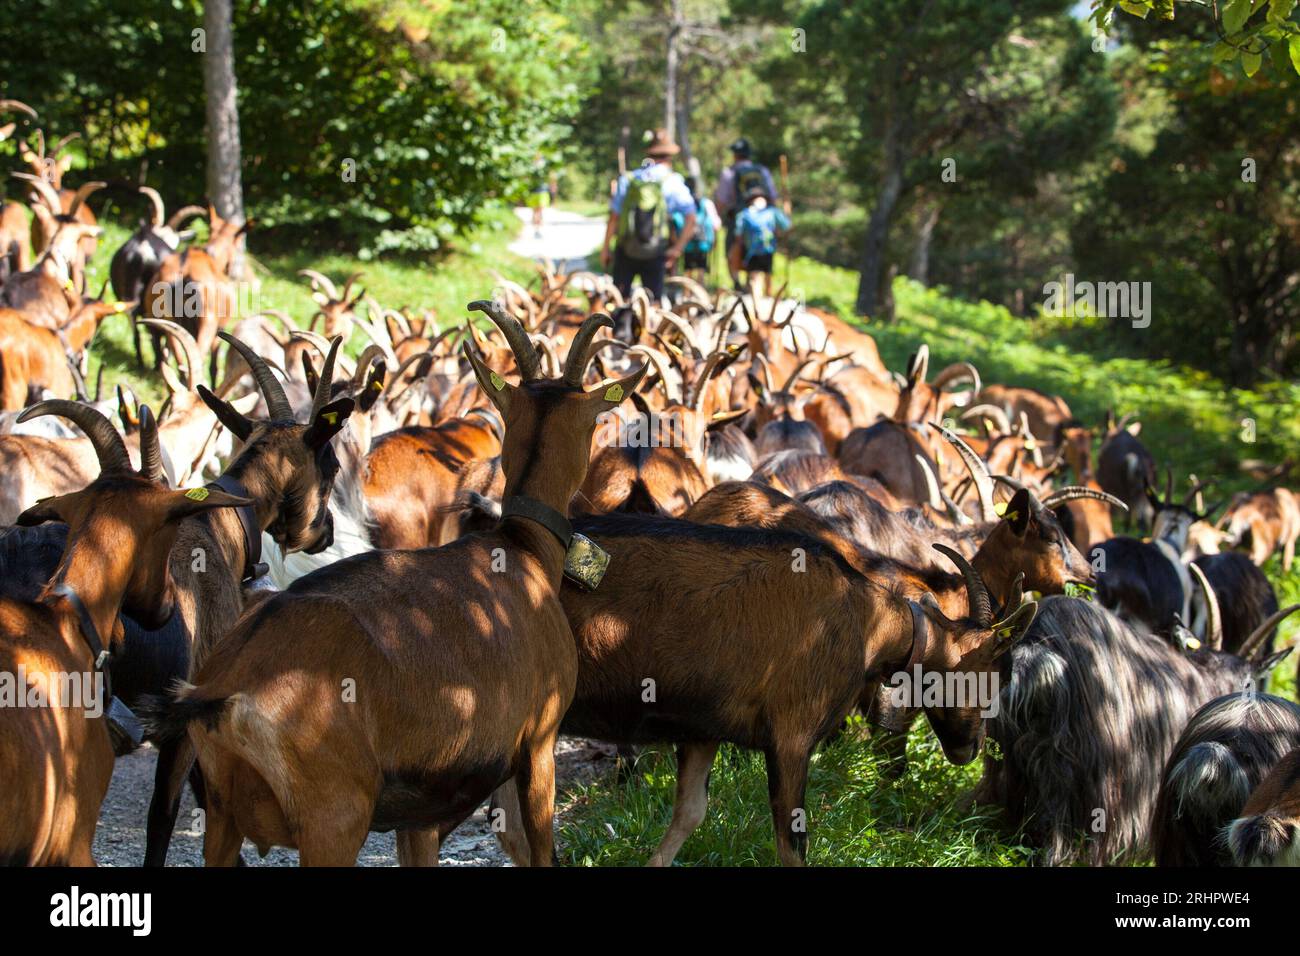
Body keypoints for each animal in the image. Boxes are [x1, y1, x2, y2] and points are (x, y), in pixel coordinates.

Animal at [140, 302, 644, 866]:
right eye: (594, 421)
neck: (522, 550)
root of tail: (224, 688)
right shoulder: (537, 743)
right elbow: (539, 849)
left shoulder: (423, 808)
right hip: (333, 820)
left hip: (224, 817)